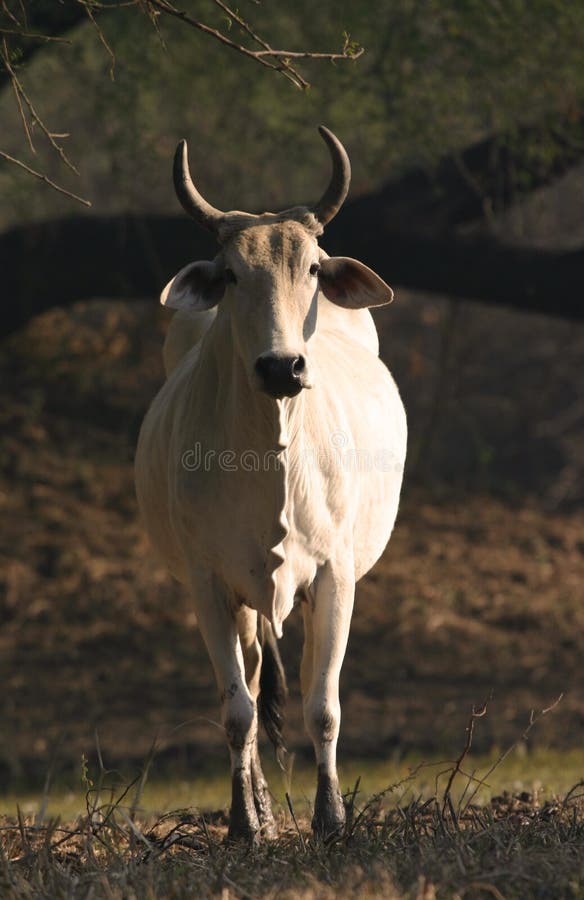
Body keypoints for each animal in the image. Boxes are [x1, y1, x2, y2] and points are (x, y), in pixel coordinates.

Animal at [135, 126, 407, 842]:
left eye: (311, 267)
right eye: (231, 273)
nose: (283, 366)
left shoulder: (335, 577)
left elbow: (324, 707)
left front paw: (331, 819)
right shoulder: (208, 583)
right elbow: (236, 710)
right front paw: (241, 824)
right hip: (242, 598)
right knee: (253, 688)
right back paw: (257, 807)